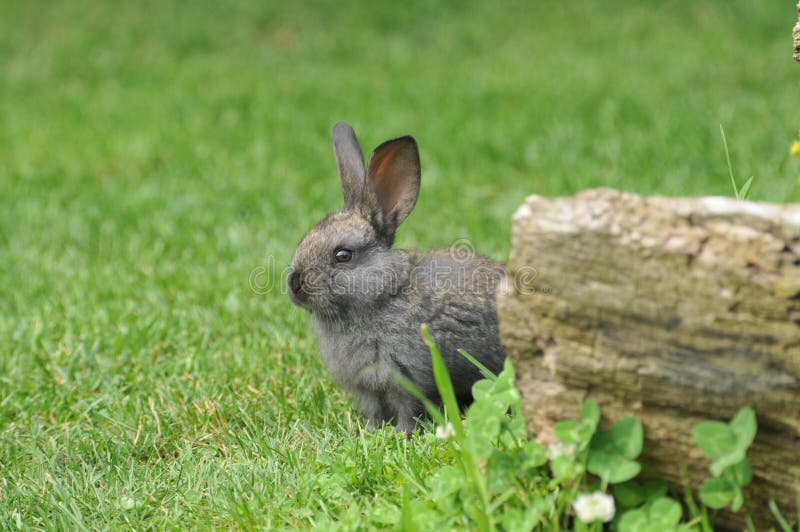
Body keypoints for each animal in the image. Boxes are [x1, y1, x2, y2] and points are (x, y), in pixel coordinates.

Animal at [287, 122, 506, 433]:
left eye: (343, 255)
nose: (294, 285)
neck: (383, 296)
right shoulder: (366, 387)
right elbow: (374, 412)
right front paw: (369, 434)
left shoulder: (407, 379)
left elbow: (408, 410)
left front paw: (402, 435)